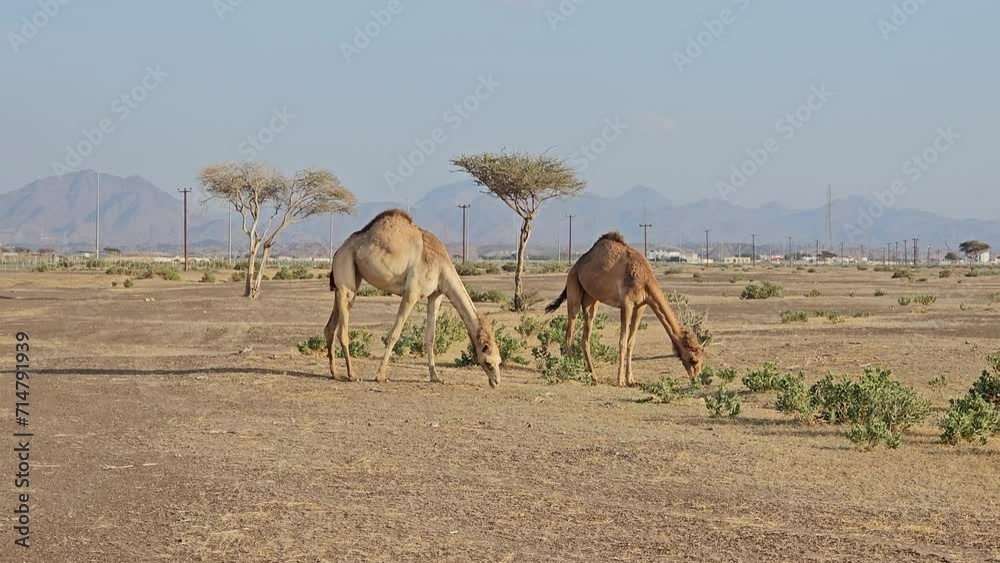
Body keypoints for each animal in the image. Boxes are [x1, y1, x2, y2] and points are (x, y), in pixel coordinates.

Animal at [325, 209, 501, 387]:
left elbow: (430, 337)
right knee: (342, 330)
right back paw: (352, 374)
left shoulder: (435, 295)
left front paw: (435, 377)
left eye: (499, 361)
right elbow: (394, 334)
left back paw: (335, 374)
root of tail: (338, 251)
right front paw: (380, 376)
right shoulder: (411, 294)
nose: (496, 382)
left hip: (350, 281)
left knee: (330, 327)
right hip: (346, 275)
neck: (440, 265)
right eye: (488, 362)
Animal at [545, 232, 705, 387]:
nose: (695, 378)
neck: (645, 278)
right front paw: (620, 380)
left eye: (701, 360)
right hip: (574, 287)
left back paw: (595, 377)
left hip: (591, 300)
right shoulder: (626, 303)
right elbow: (622, 342)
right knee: (569, 332)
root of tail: (575, 267)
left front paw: (631, 379)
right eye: (694, 360)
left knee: (585, 337)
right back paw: (569, 371)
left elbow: (631, 342)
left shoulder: (641, 305)